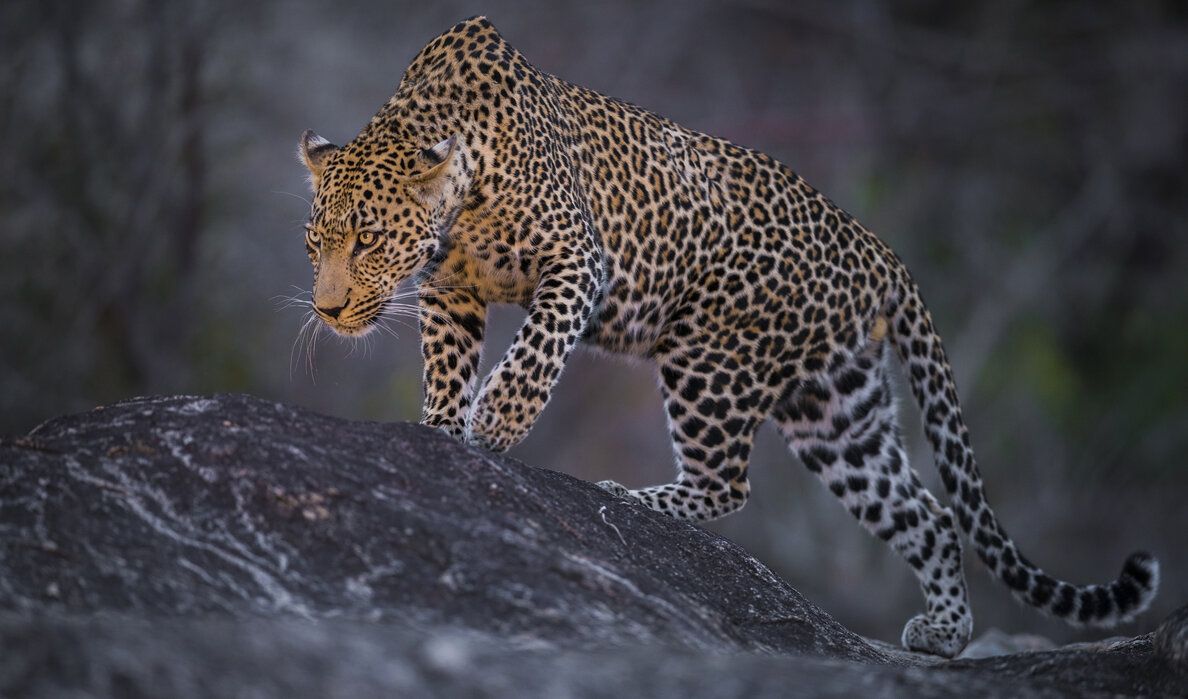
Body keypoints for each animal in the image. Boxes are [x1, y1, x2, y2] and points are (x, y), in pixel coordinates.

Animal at [295, 16, 1159, 657]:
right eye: (315, 245)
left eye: (367, 240)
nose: (329, 309)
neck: (460, 190)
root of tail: (876, 248)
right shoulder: (452, 291)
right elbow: (447, 365)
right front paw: (441, 428)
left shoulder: (578, 261)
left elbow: (537, 348)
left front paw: (498, 421)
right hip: (834, 410)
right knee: (927, 512)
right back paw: (945, 632)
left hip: (708, 356)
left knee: (730, 482)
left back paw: (631, 495)